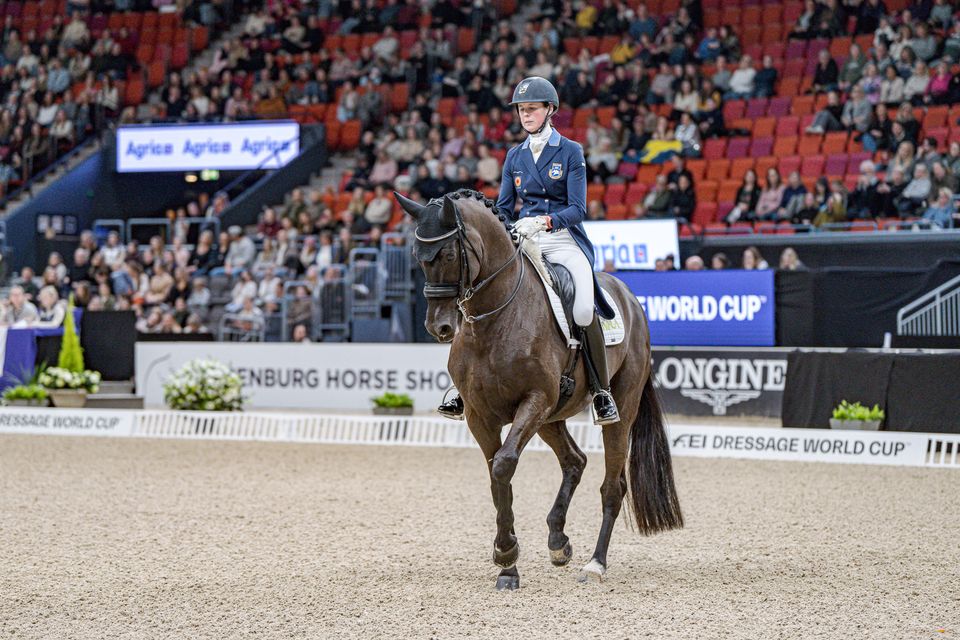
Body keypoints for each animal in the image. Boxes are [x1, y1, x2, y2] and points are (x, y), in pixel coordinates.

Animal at [395, 189, 683, 590]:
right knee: (575, 461)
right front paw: (507, 564)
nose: (439, 327)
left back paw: (595, 564)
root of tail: (629, 297)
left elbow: (504, 465)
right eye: (417, 258)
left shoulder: (533, 402)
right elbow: (496, 476)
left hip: (615, 410)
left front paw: (506, 554)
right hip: (552, 418)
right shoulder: (480, 415)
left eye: (450, 255)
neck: (495, 318)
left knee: (612, 486)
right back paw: (558, 542)